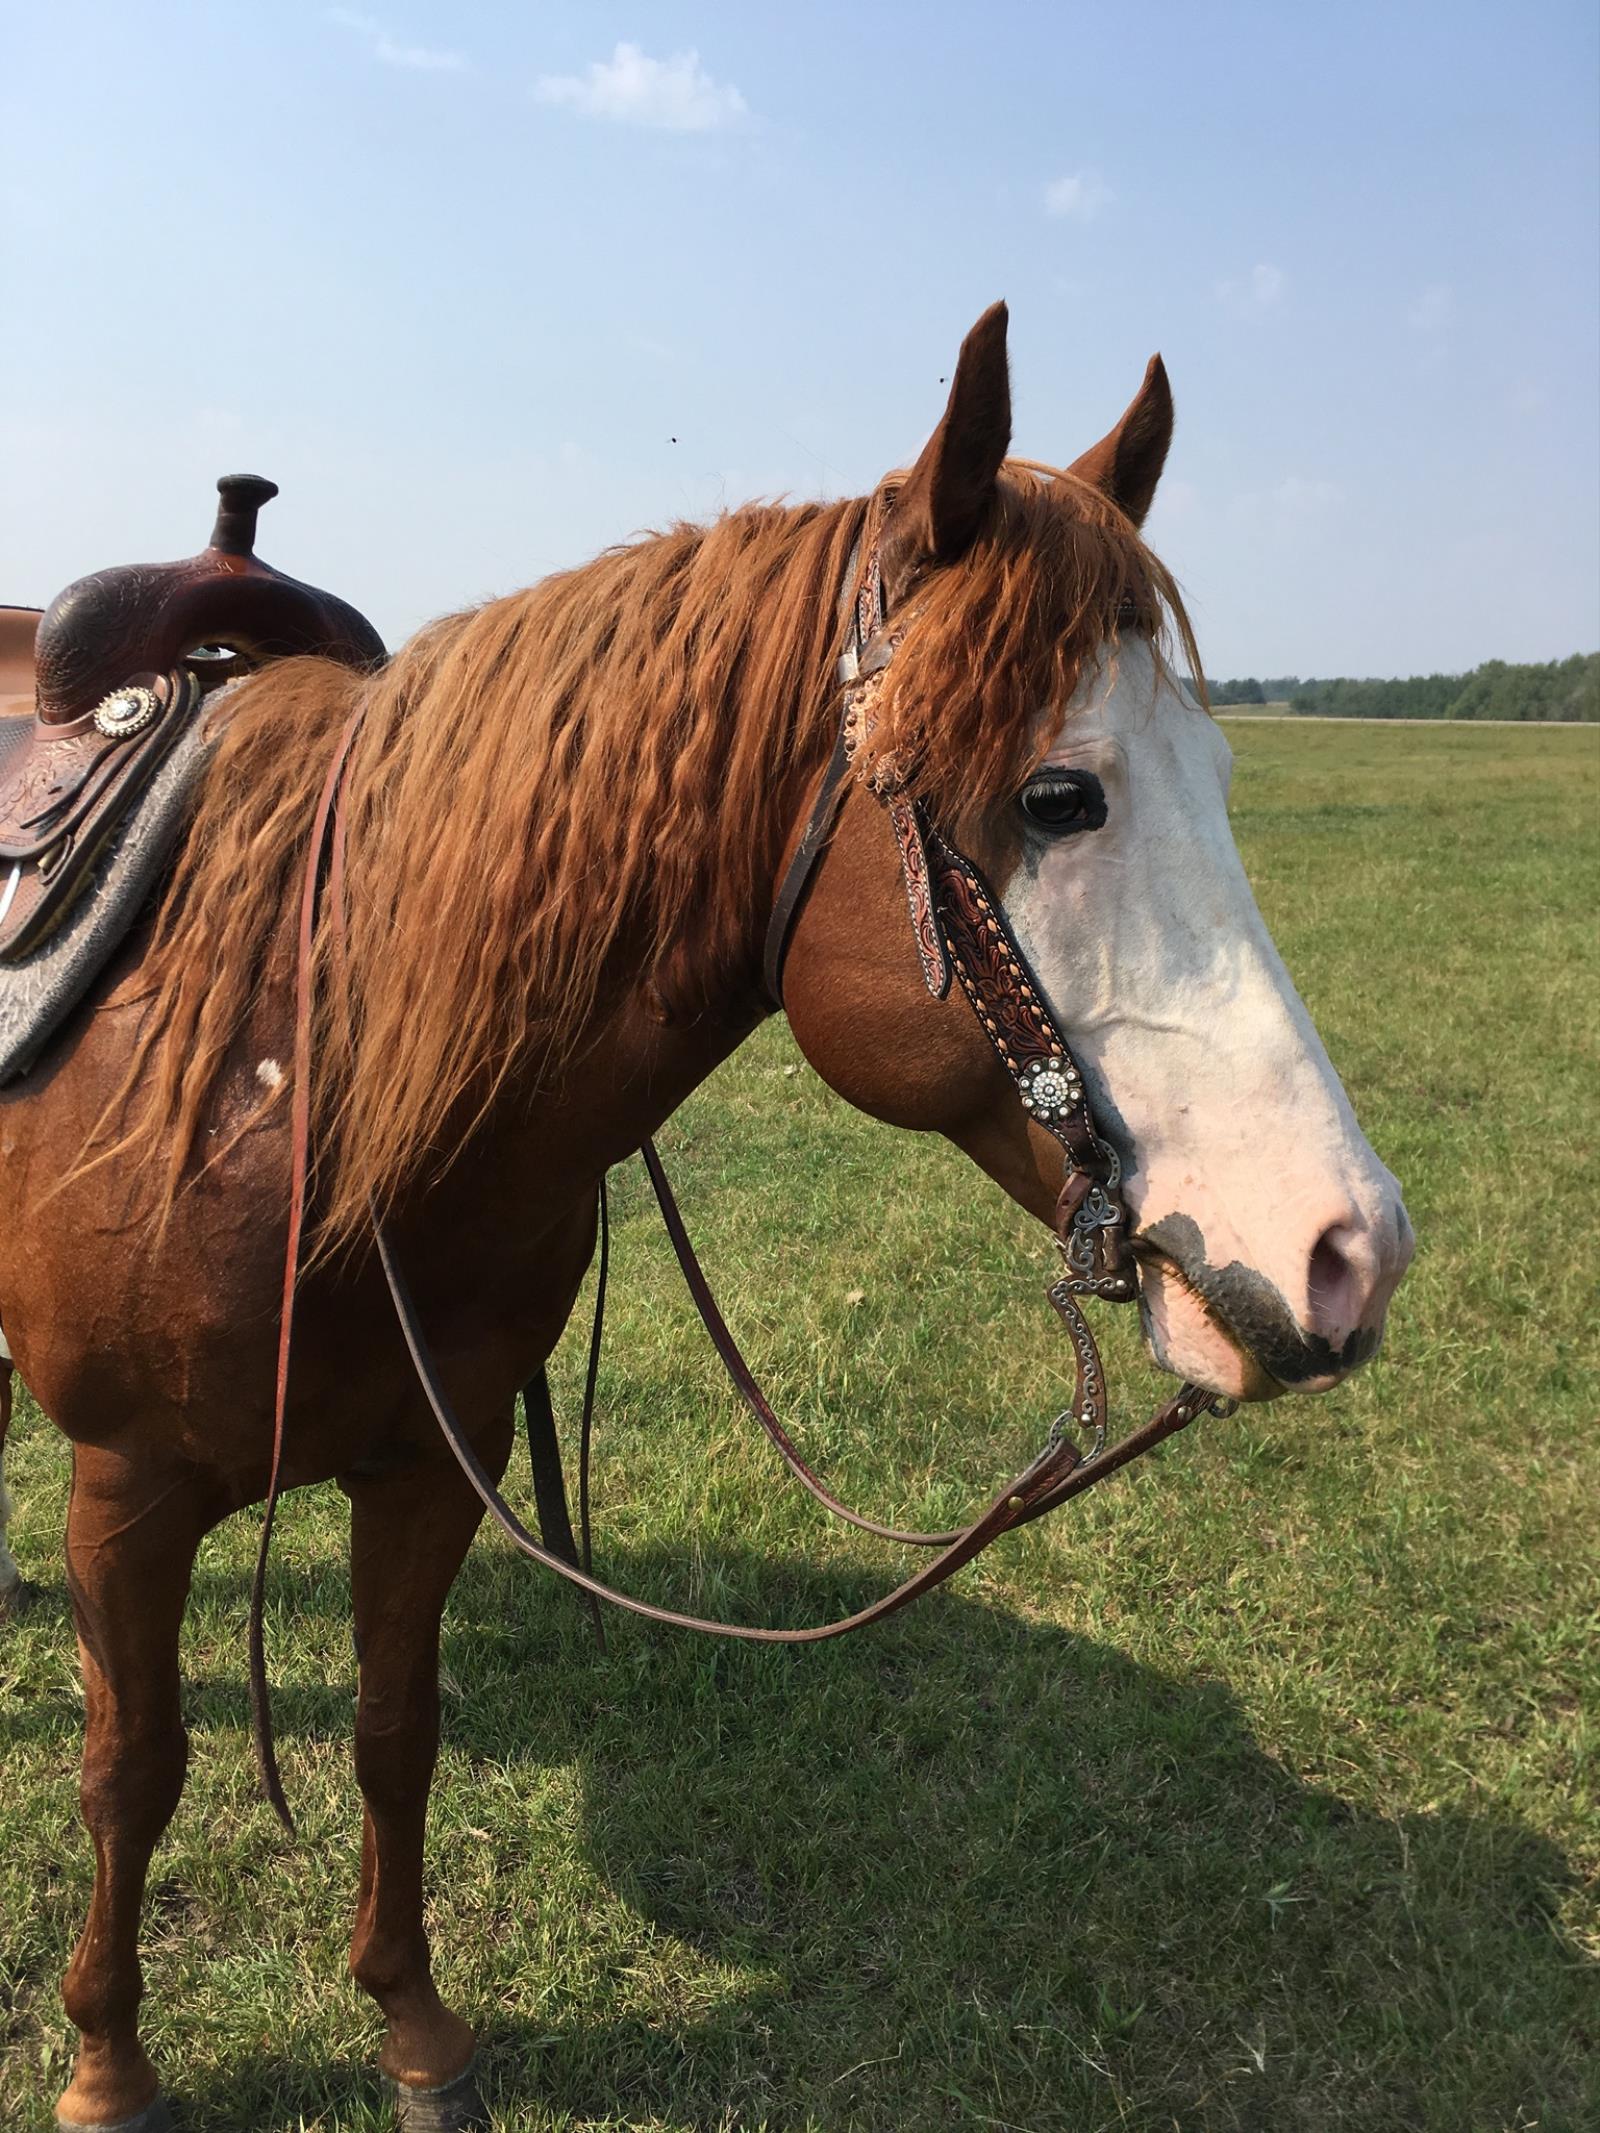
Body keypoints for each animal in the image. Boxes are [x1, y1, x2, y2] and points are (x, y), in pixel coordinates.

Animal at [0, 303, 1412, 2132]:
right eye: (1059, 798)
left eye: (1222, 774)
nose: (1349, 1250)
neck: (296, 1060)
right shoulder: (128, 1486)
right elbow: (133, 1765)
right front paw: (109, 2060)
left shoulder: (430, 1461)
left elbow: (395, 1730)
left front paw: (414, 2024)